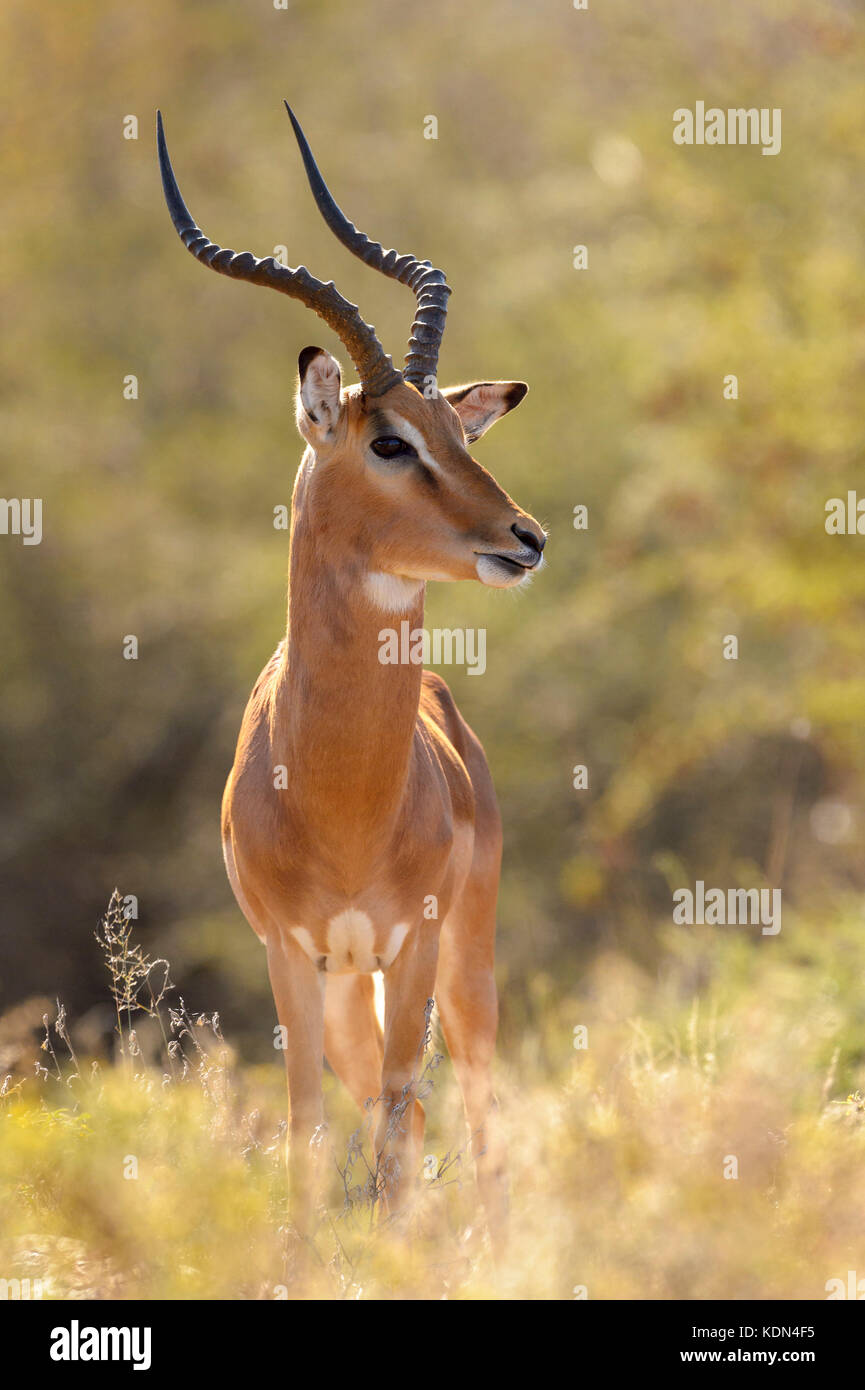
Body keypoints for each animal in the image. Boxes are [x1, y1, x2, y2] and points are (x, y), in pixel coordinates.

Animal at [157, 104, 546, 1245]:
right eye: (388, 441)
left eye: (459, 429)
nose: (526, 537)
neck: (338, 802)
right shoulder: (291, 955)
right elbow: (306, 1127)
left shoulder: (410, 942)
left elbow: (401, 1121)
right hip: (345, 990)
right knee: (379, 1100)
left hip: (461, 959)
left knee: (464, 1100)